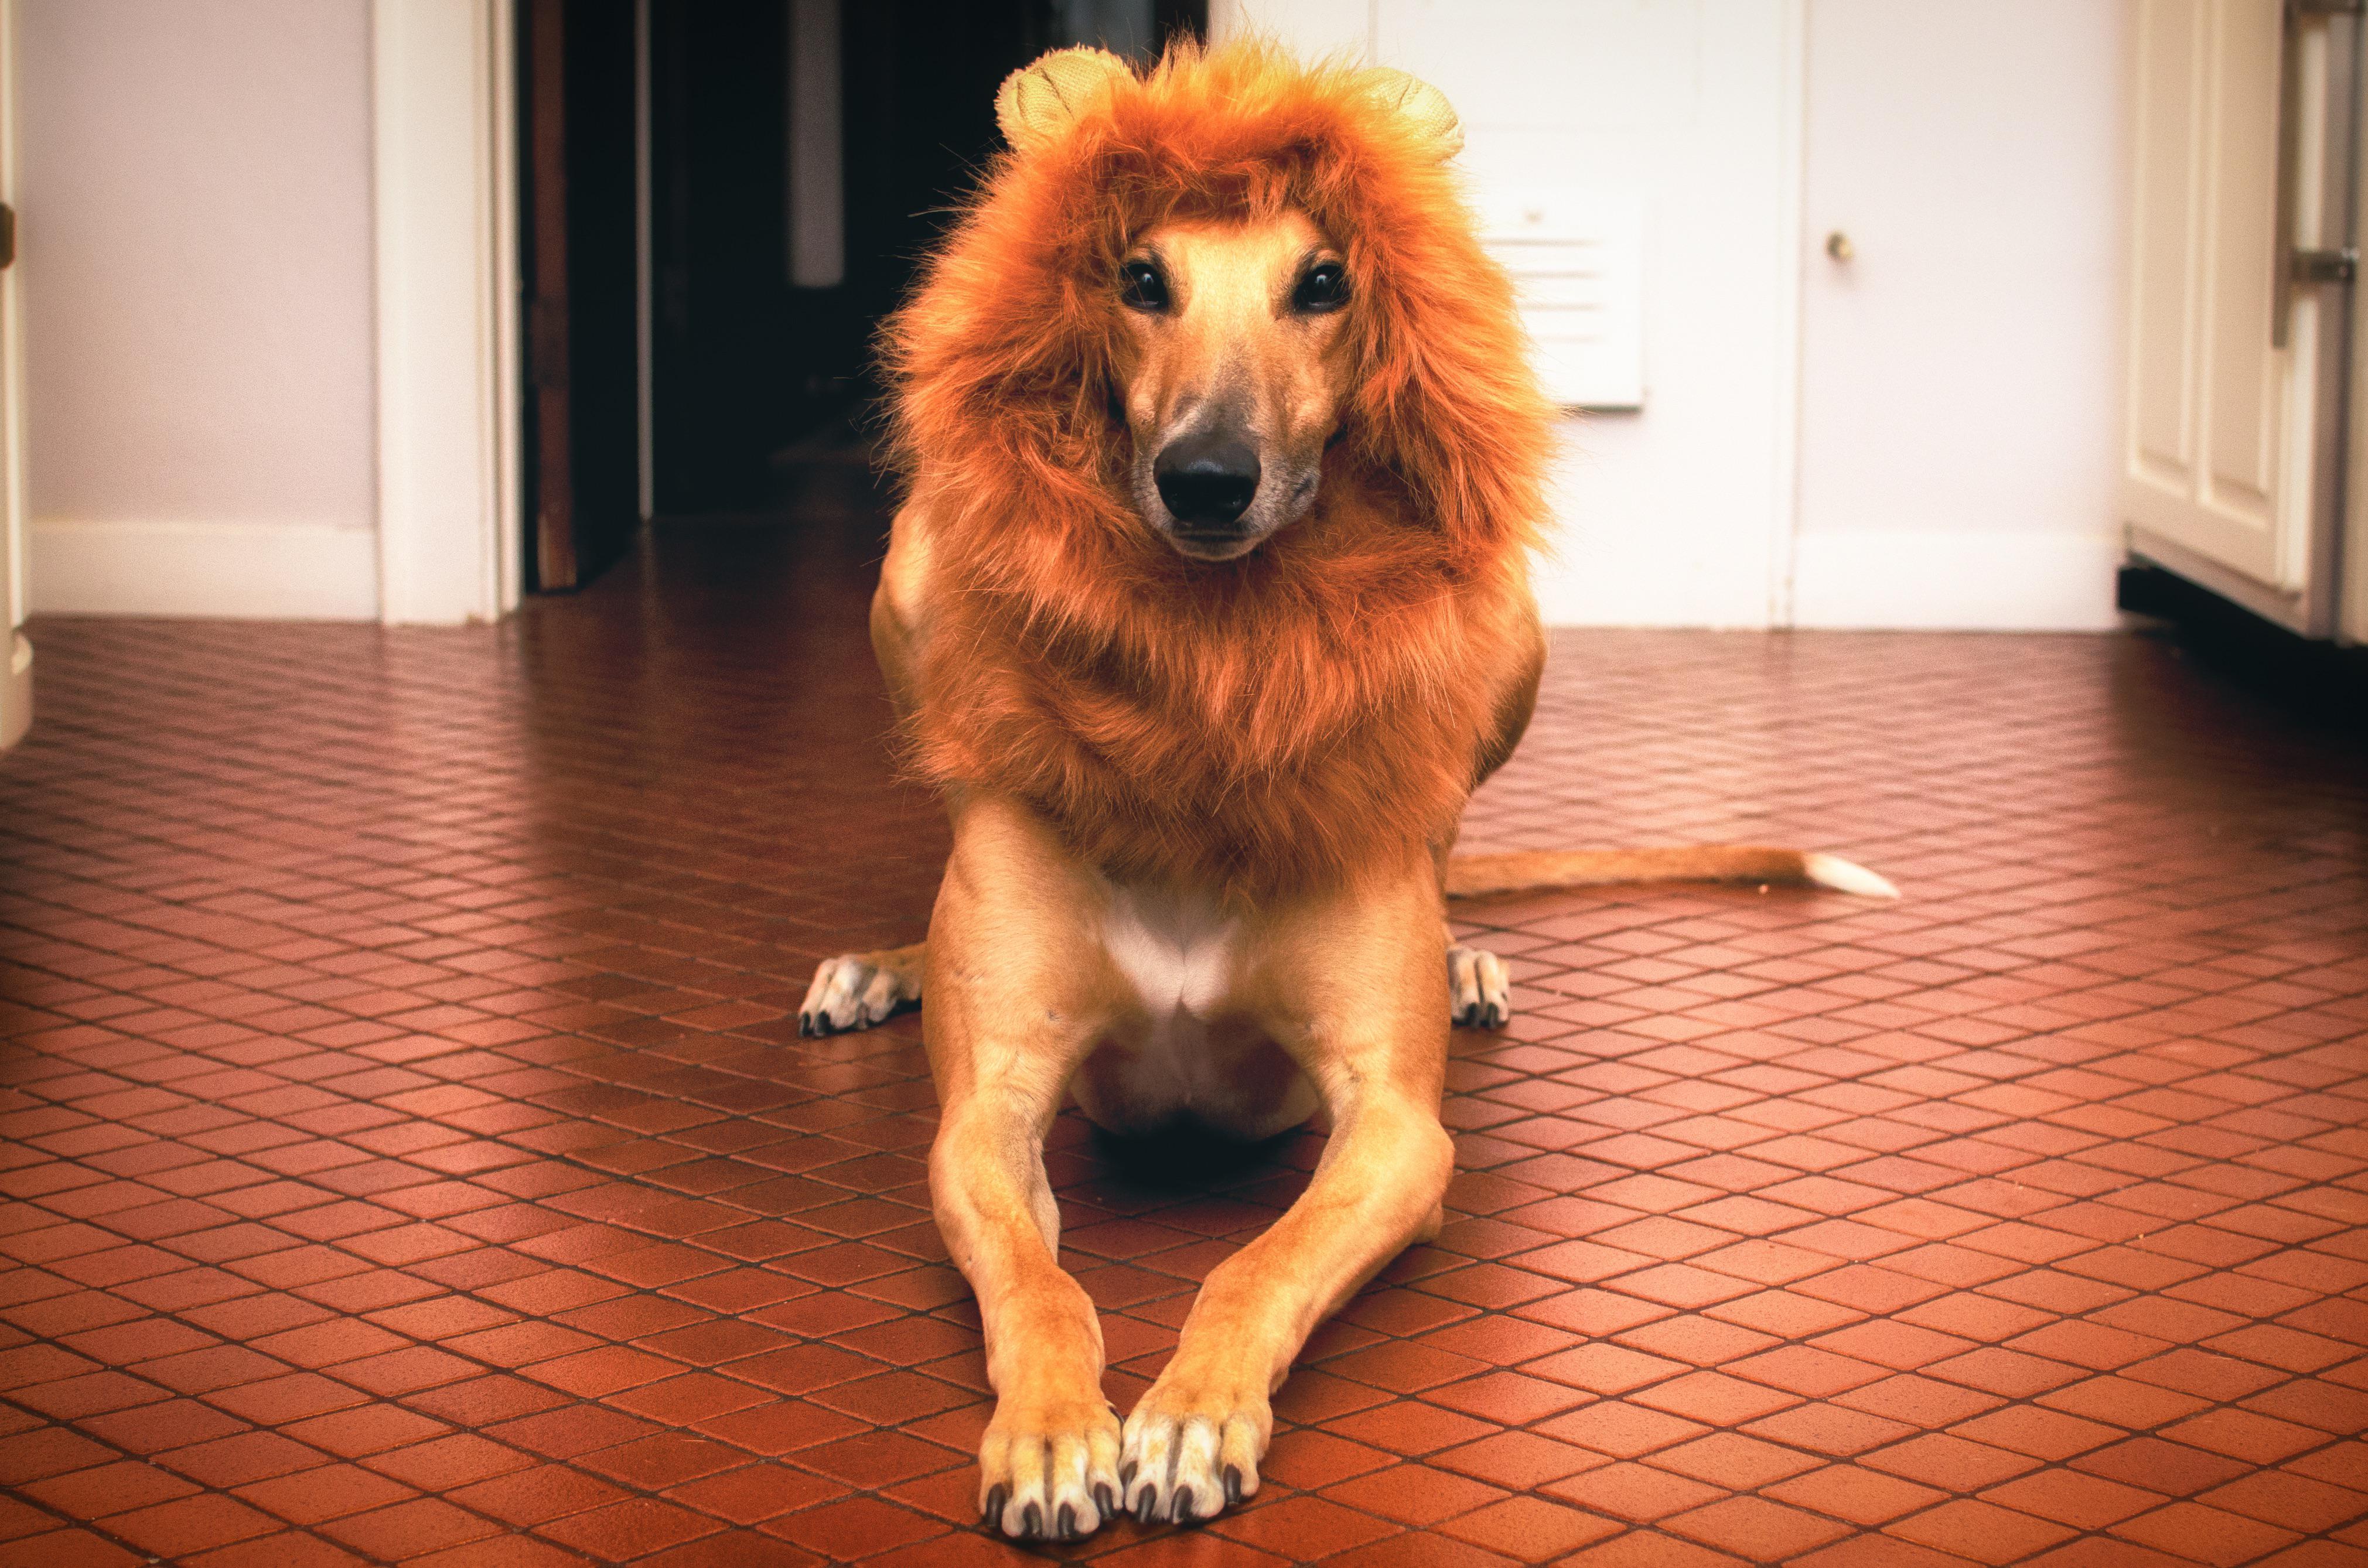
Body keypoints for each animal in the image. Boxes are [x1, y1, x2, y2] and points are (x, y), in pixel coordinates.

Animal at [796, 40, 1894, 1540]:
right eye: (1138, 277)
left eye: (1323, 283)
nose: (1206, 481)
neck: (1206, 697)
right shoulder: (988, 1115)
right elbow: (1039, 1281)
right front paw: (1053, 1429)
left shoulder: (1393, 1132)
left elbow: (1259, 1261)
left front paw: (1193, 1412)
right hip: (914, 585)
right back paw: (880, 964)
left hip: (1498, 630)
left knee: (1438, 828)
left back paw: (1466, 952)